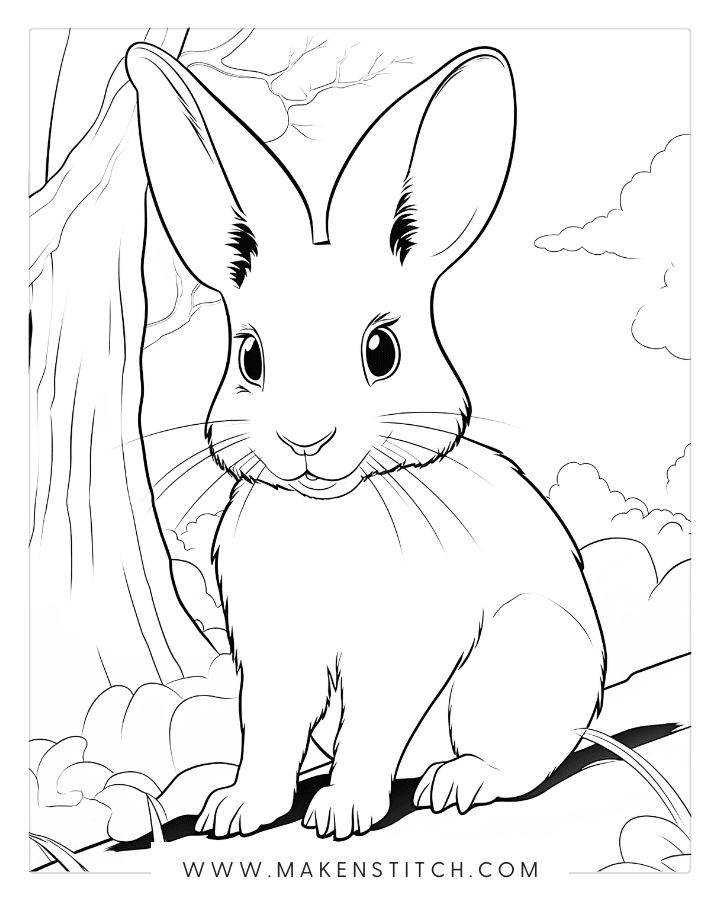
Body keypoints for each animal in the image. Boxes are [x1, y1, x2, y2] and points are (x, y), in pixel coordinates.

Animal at [127, 41, 606, 840]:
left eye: (382, 352)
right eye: (250, 357)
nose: (305, 438)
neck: (326, 513)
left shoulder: (403, 648)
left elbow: (372, 726)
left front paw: (340, 814)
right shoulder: (274, 653)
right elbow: (269, 728)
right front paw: (238, 812)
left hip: (520, 658)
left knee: (516, 761)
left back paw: (455, 783)